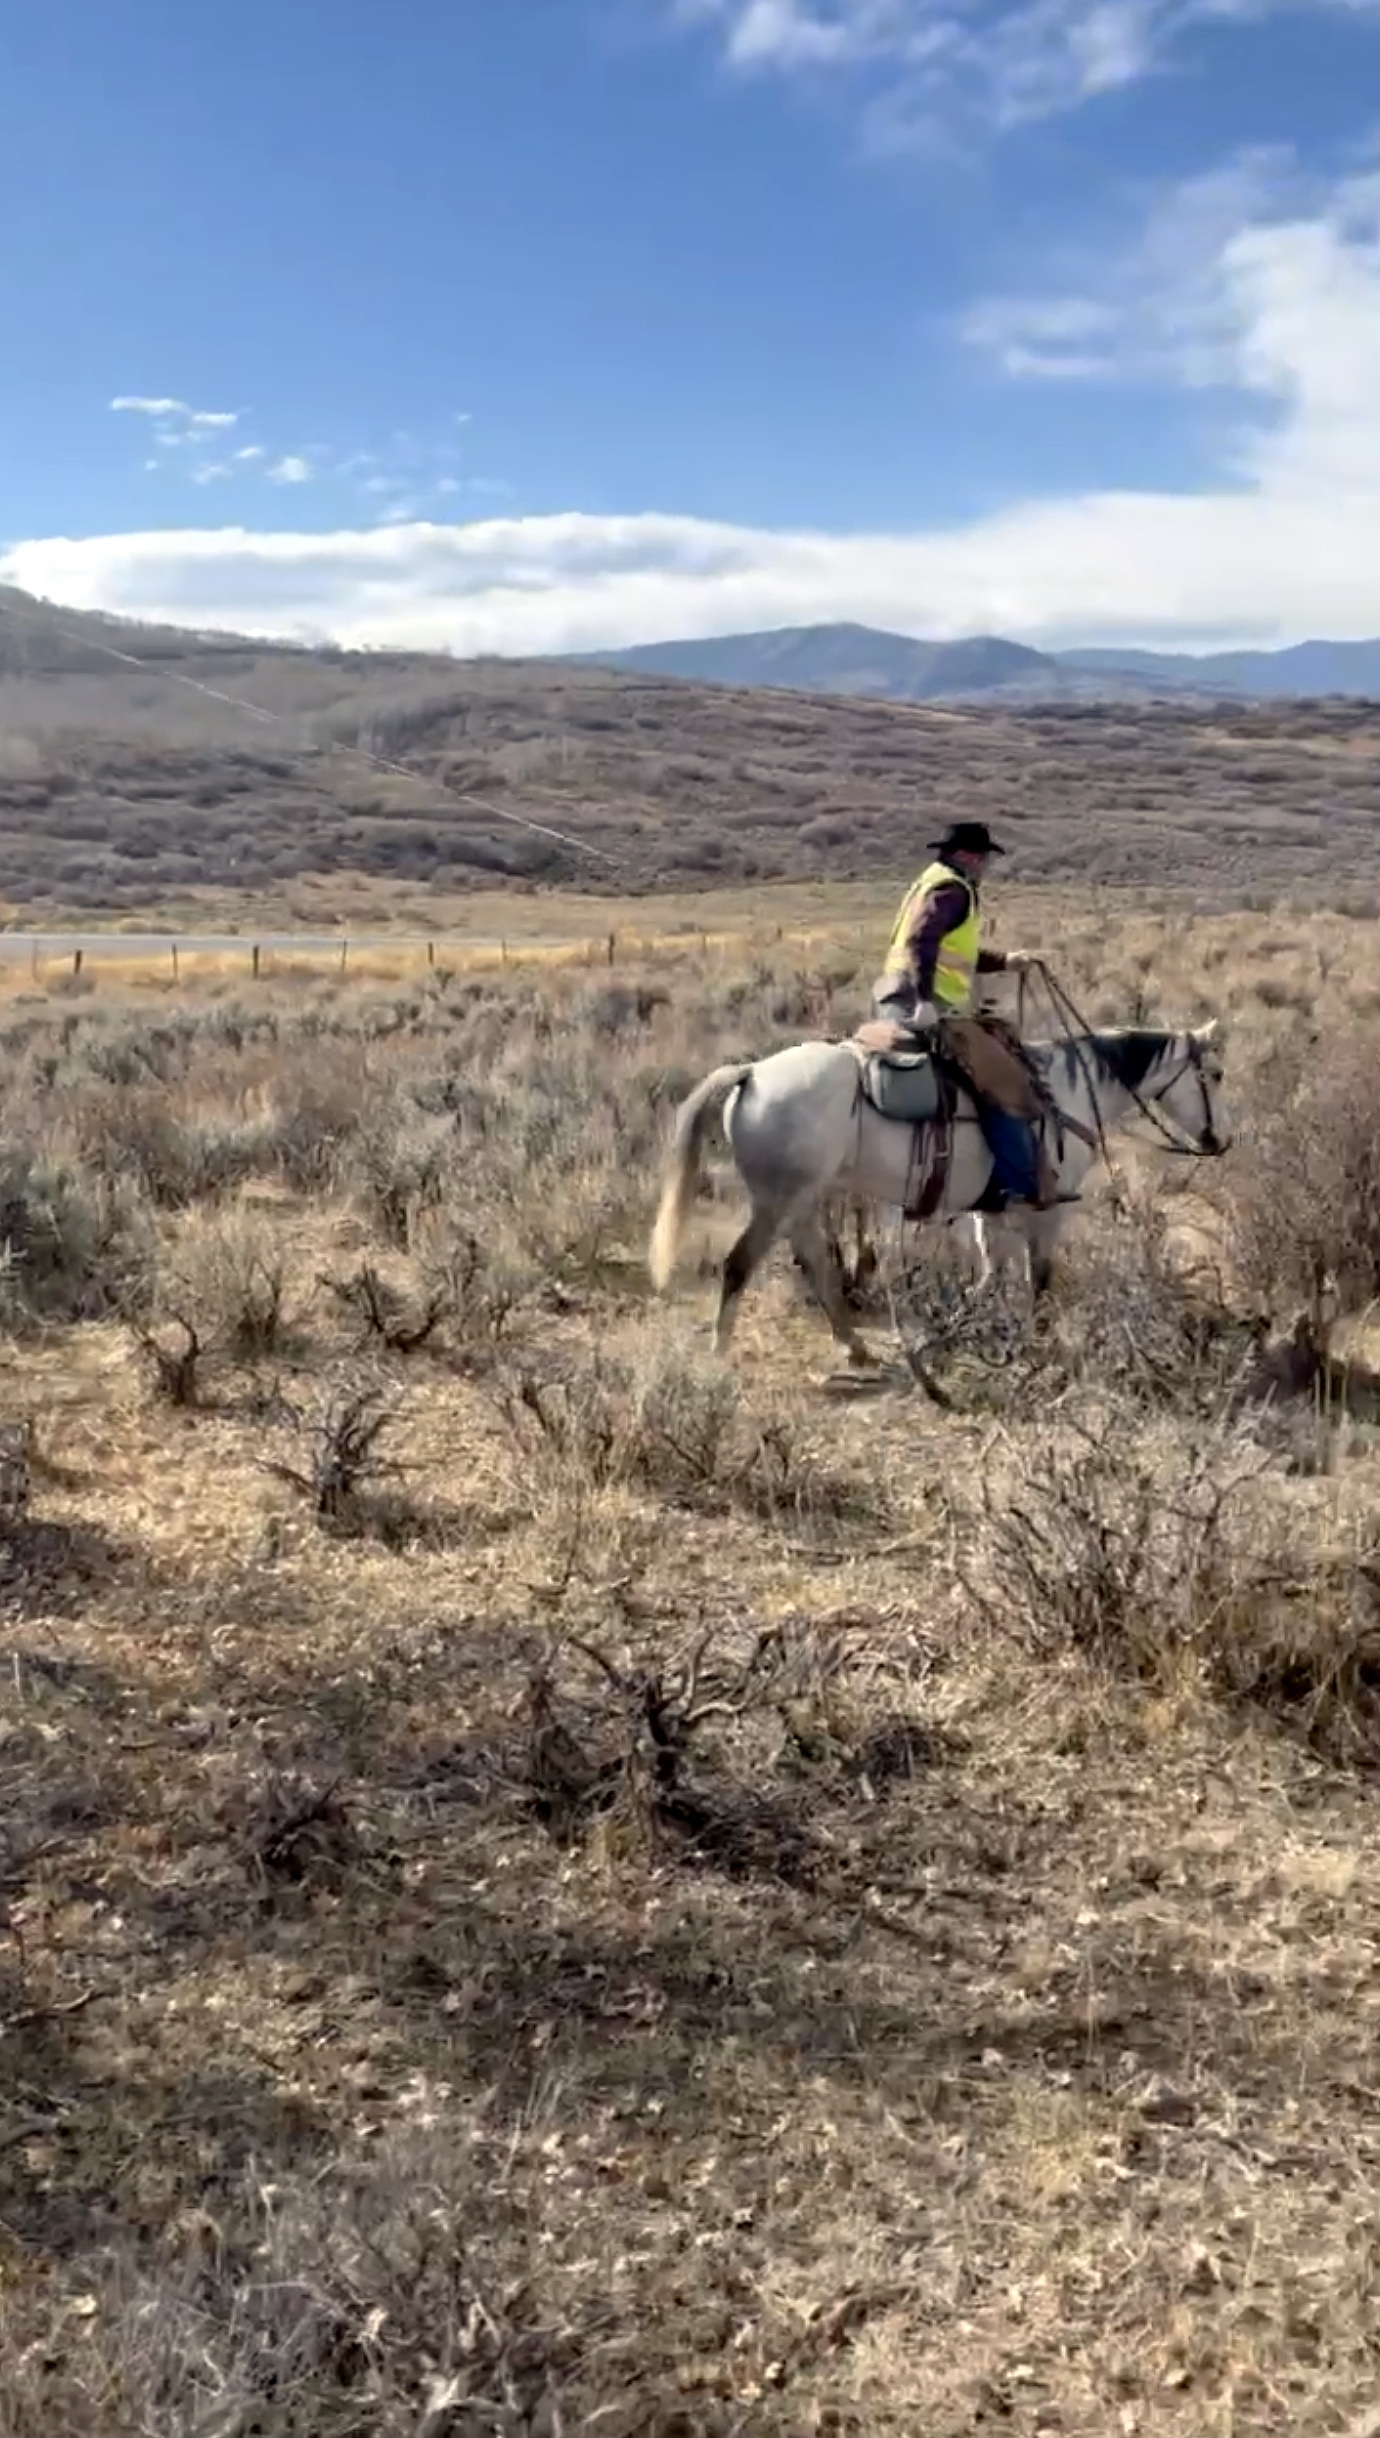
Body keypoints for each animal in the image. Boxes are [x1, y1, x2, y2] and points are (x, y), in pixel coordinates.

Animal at [648, 1020, 1230, 1364]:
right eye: (1217, 1074)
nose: (1219, 1140)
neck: (1067, 1093)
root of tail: (750, 1073)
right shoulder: (1046, 1211)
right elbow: (1039, 1278)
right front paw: (1037, 1339)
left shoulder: (992, 1207)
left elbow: (991, 1271)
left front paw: (959, 1323)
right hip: (778, 1199)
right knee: (739, 1265)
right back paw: (721, 1355)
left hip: (804, 1198)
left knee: (813, 1262)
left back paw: (854, 1345)